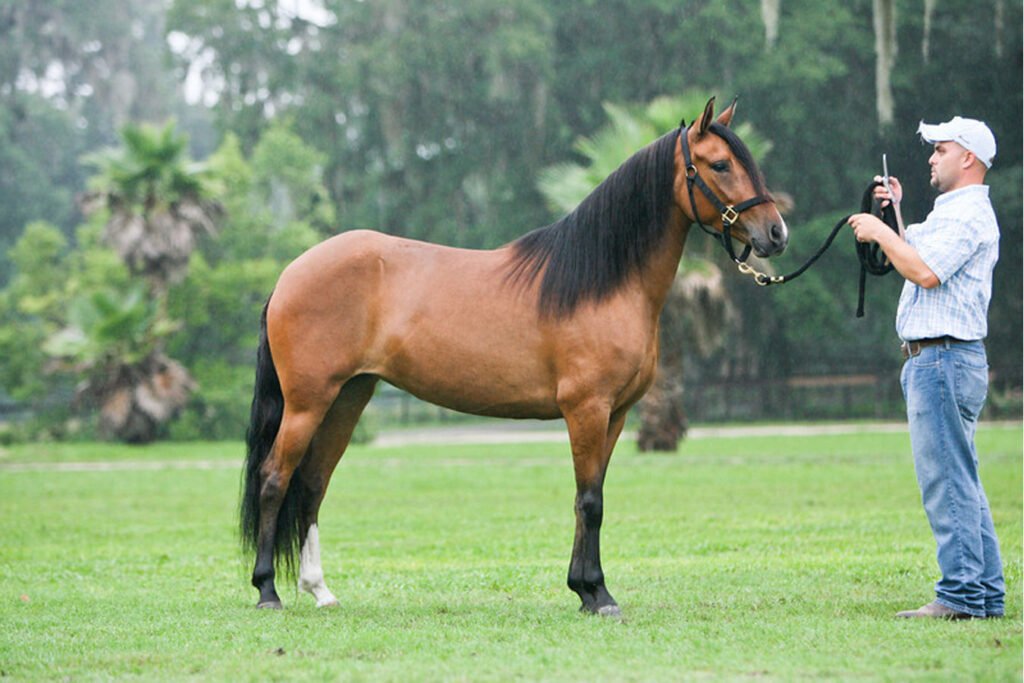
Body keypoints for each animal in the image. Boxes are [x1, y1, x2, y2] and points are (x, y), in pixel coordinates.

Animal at [241, 97, 788, 616]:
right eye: (719, 164)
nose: (776, 234)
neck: (602, 282)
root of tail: (290, 275)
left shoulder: (614, 415)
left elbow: (589, 497)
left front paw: (585, 589)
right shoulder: (586, 410)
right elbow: (590, 501)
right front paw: (598, 594)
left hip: (347, 399)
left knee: (312, 484)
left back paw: (319, 590)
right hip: (308, 402)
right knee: (274, 478)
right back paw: (267, 590)